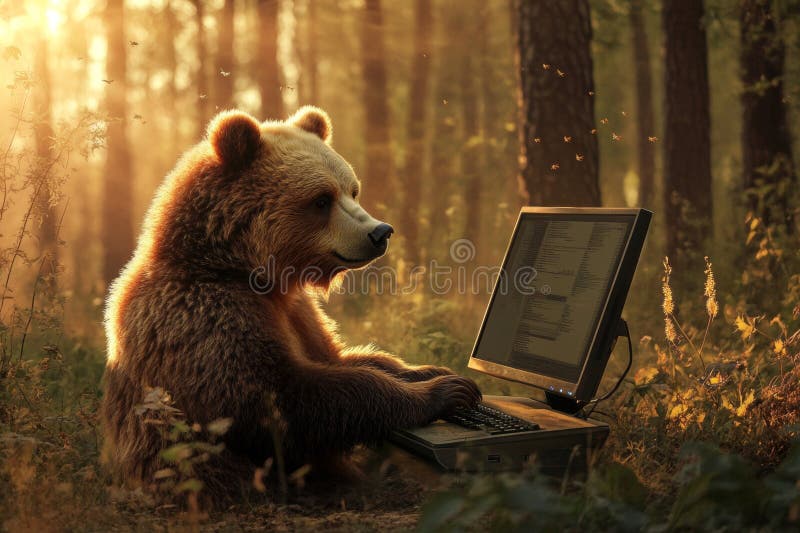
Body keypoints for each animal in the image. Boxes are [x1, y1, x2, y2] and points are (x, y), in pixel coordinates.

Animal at [101, 106, 482, 502]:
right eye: (321, 199)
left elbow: (342, 357)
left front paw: (433, 372)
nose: (380, 232)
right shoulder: (207, 318)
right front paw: (442, 393)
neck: (246, 269)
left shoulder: (299, 311)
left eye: (352, 190)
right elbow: (280, 397)